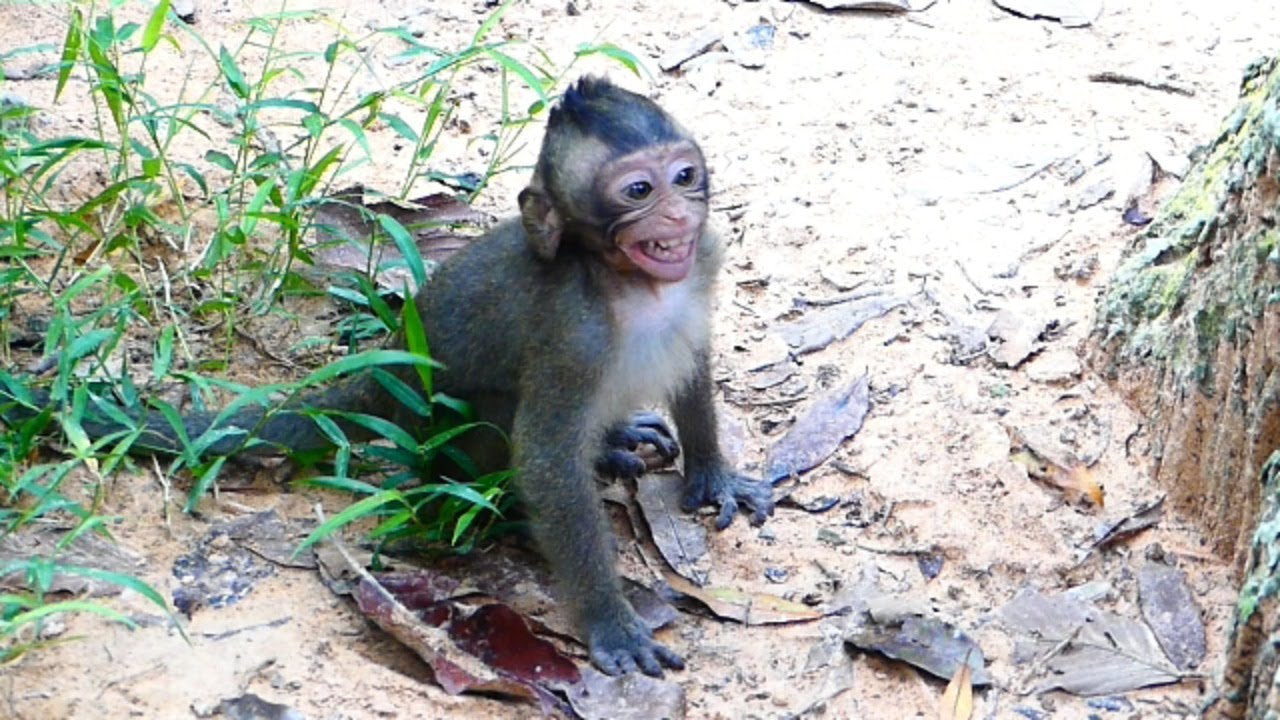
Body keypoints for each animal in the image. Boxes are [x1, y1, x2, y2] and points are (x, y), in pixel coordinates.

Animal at [0, 76, 775, 677]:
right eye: (638, 190)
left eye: (684, 177)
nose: (675, 213)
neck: (631, 284)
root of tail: (386, 365)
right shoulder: (573, 330)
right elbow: (547, 463)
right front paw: (609, 622)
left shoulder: (703, 256)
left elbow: (695, 362)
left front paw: (713, 475)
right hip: (444, 429)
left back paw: (614, 441)